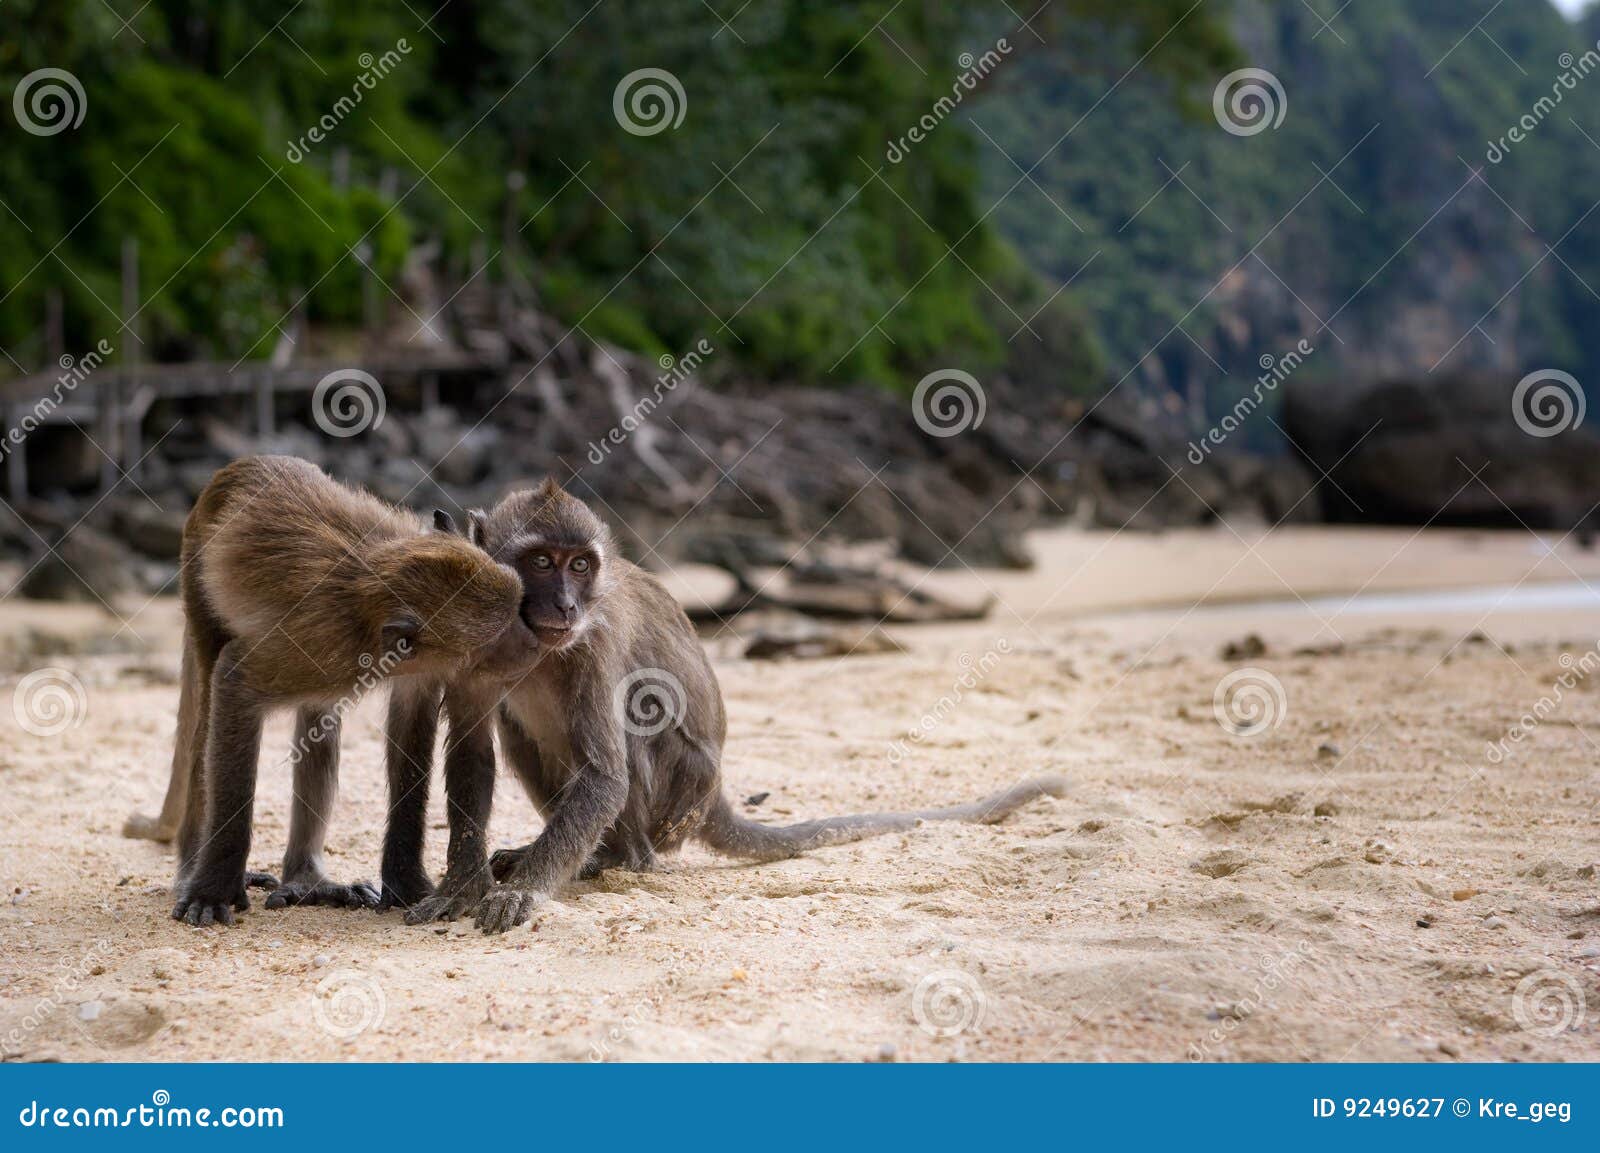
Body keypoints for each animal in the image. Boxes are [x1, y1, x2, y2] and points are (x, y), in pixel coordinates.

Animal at [146, 455, 531, 927]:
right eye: (501, 633)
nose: (535, 642)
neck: (371, 596)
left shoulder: (417, 666)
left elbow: (409, 726)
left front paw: (404, 881)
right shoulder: (323, 645)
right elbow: (233, 679)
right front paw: (213, 889)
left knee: (319, 719)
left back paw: (306, 879)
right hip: (196, 577)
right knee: (209, 696)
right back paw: (193, 871)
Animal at [396, 479, 1067, 934]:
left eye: (579, 565)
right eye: (541, 562)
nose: (564, 605)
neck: (538, 643)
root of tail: (715, 790)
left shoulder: (597, 642)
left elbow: (607, 776)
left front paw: (526, 892)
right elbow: (471, 755)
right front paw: (463, 886)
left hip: (678, 795)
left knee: (642, 720)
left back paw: (621, 860)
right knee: (522, 735)